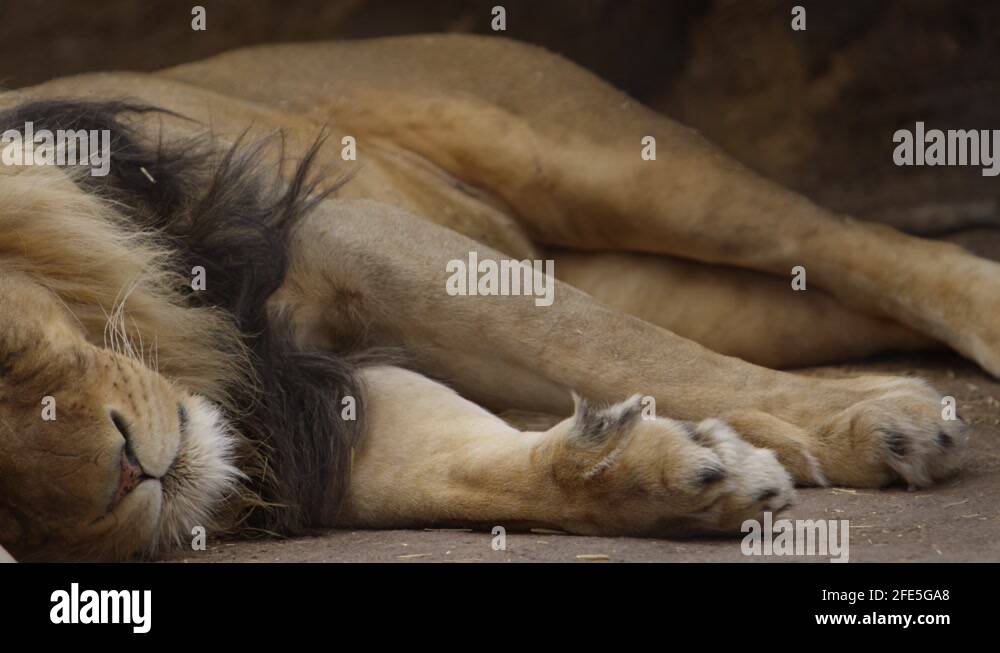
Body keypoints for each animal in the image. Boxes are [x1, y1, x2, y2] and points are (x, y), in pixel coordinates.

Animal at [1, 34, 987, 561]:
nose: (130, 477)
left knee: (866, 243)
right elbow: (457, 468)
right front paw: (672, 474)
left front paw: (878, 420)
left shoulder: (350, 234)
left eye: (7, 349)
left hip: (613, 163)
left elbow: (604, 342)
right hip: (699, 287)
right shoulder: (308, 411)